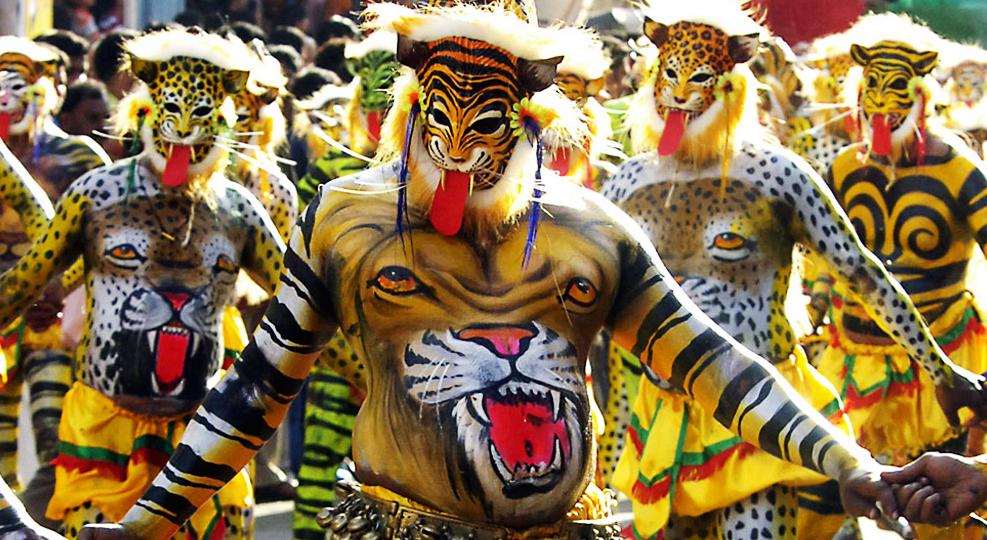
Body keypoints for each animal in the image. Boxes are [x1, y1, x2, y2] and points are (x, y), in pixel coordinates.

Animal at [92, 4, 899, 539]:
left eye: (488, 120)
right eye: (435, 110)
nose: (505, 341)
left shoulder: (626, 242)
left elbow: (716, 363)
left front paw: (865, 479)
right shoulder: (312, 235)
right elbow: (255, 384)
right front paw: (127, 525)